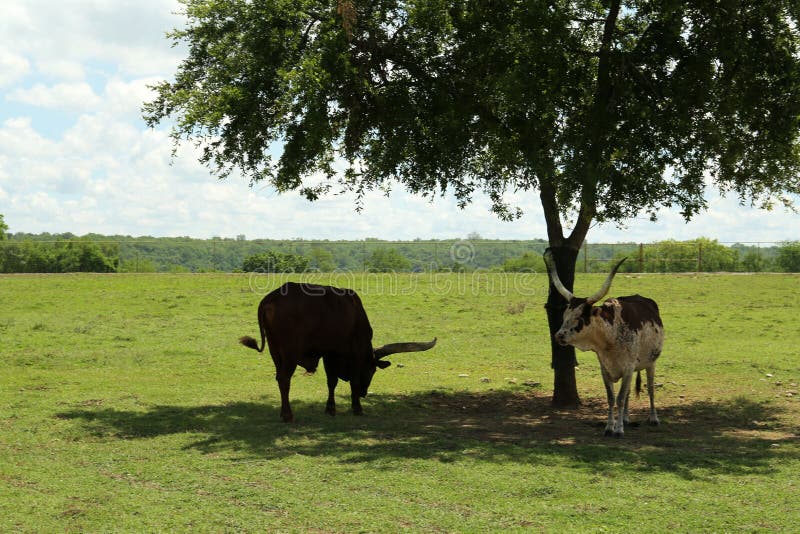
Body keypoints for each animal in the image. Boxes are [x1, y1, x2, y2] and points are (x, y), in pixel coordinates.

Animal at [240, 282, 436, 422]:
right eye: (372, 370)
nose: (364, 394)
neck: (356, 317)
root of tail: (270, 299)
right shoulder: (354, 354)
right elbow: (354, 381)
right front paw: (357, 408)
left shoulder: (329, 354)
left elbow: (331, 382)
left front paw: (330, 408)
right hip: (290, 353)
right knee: (284, 379)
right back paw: (288, 415)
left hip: (275, 351)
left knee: (280, 378)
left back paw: (283, 413)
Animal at [544, 251, 664, 437]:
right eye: (565, 315)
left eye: (580, 318)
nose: (559, 335)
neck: (610, 336)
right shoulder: (605, 369)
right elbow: (612, 397)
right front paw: (610, 427)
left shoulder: (628, 367)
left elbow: (620, 398)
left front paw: (619, 430)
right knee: (628, 393)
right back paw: (626, 419)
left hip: (651, 362)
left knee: (650, 388)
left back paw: (653, 418)